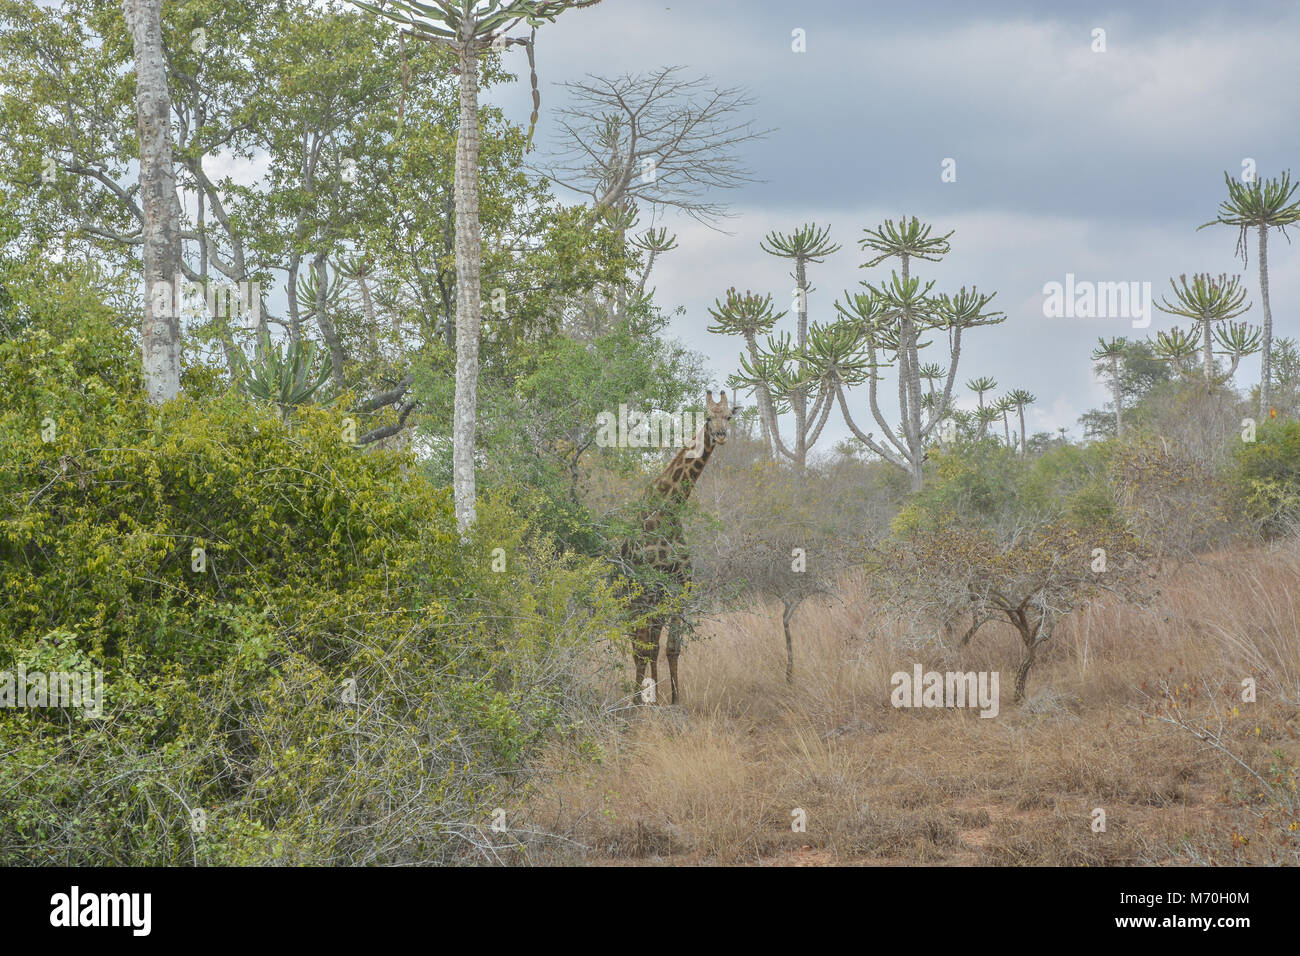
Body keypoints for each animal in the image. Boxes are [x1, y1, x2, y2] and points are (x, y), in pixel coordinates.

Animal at [622, 390, 736, 705]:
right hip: (633, 601)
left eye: (729, 416)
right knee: (638, 646)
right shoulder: (647, 590)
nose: (720, 435)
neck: (669, 509)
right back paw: (638, 698)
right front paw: (639, 704)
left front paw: (674, 701)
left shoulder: (679, 587)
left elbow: (672, 648)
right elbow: (645, 649)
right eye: (708, 416)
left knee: (651, 645)